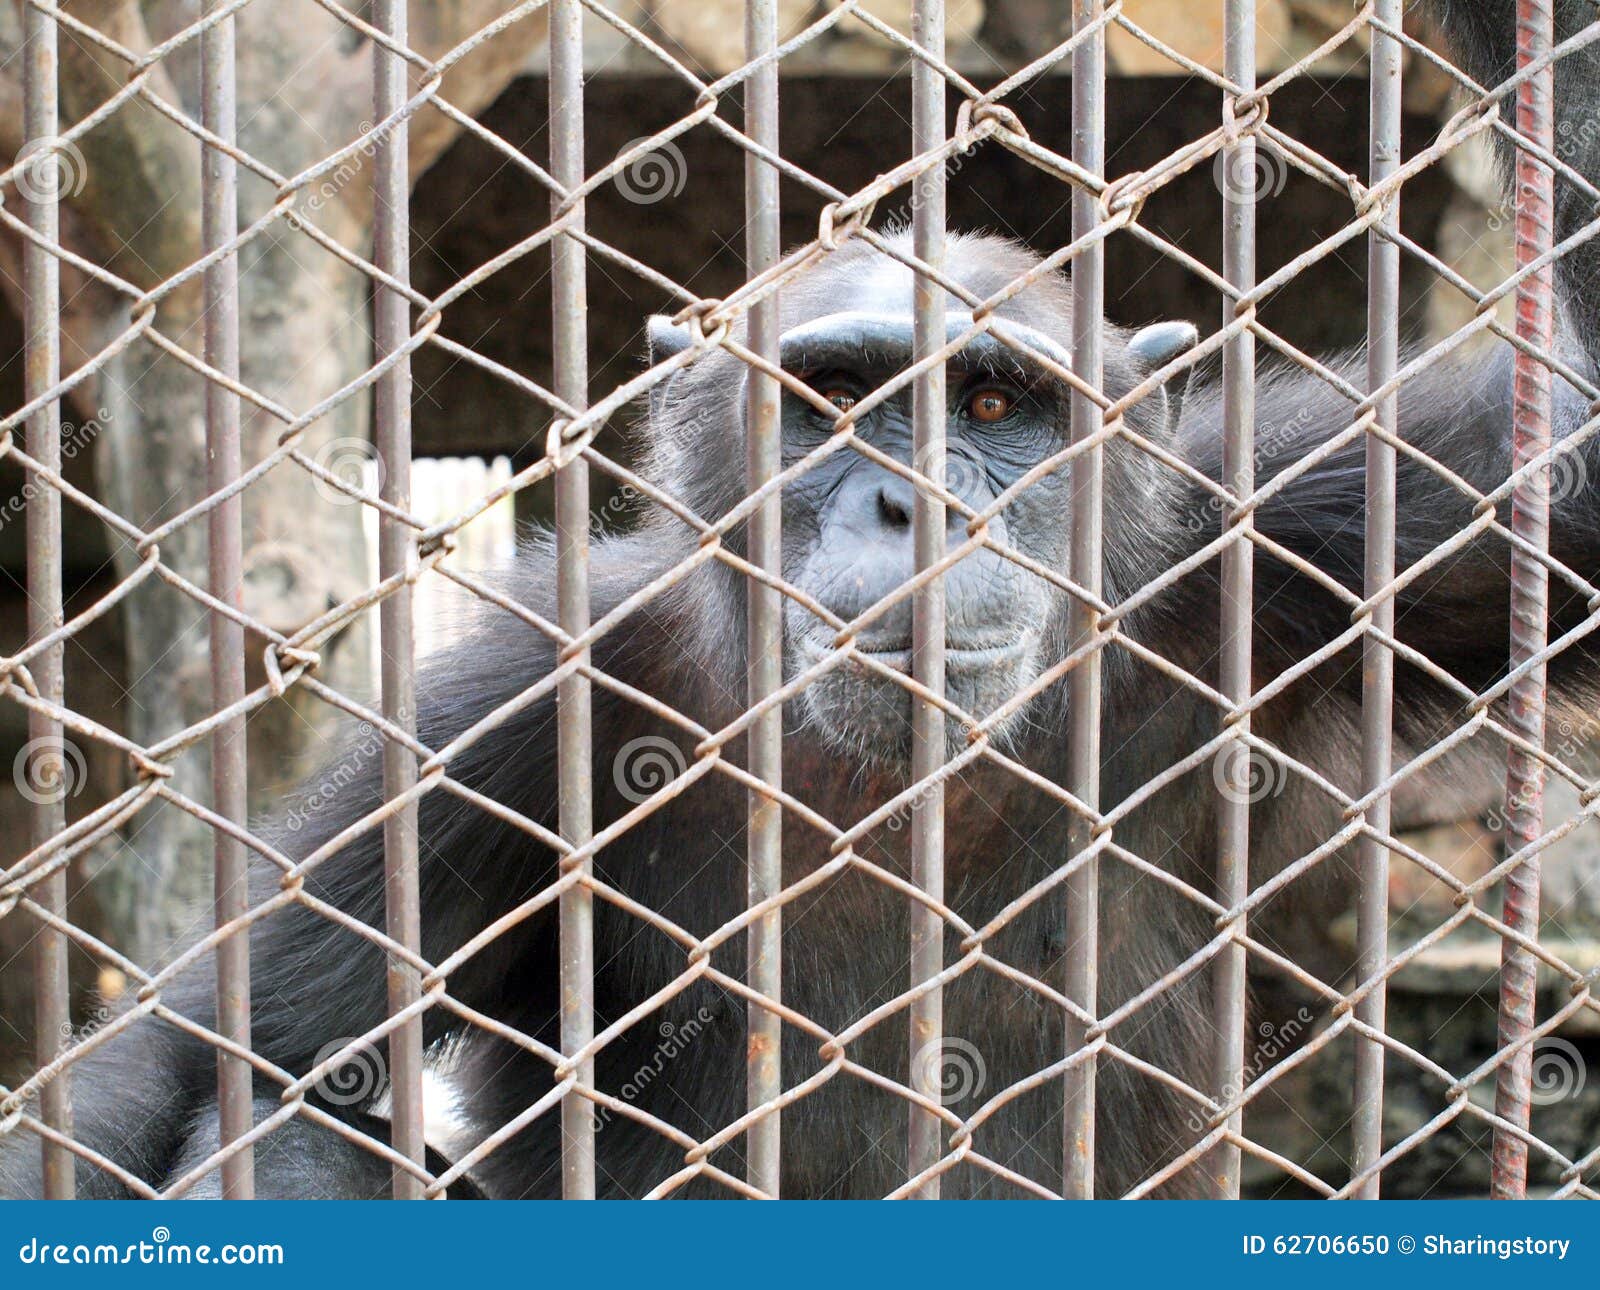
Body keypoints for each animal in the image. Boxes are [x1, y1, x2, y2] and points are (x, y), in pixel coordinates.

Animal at [4, 0, 1600, 1200]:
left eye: (995, 400)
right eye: (834, 396)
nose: (915, 500)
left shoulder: (1305, 529)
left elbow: (1571, 478)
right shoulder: (504, 705)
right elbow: (213, 1055)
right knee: (294, 1122)